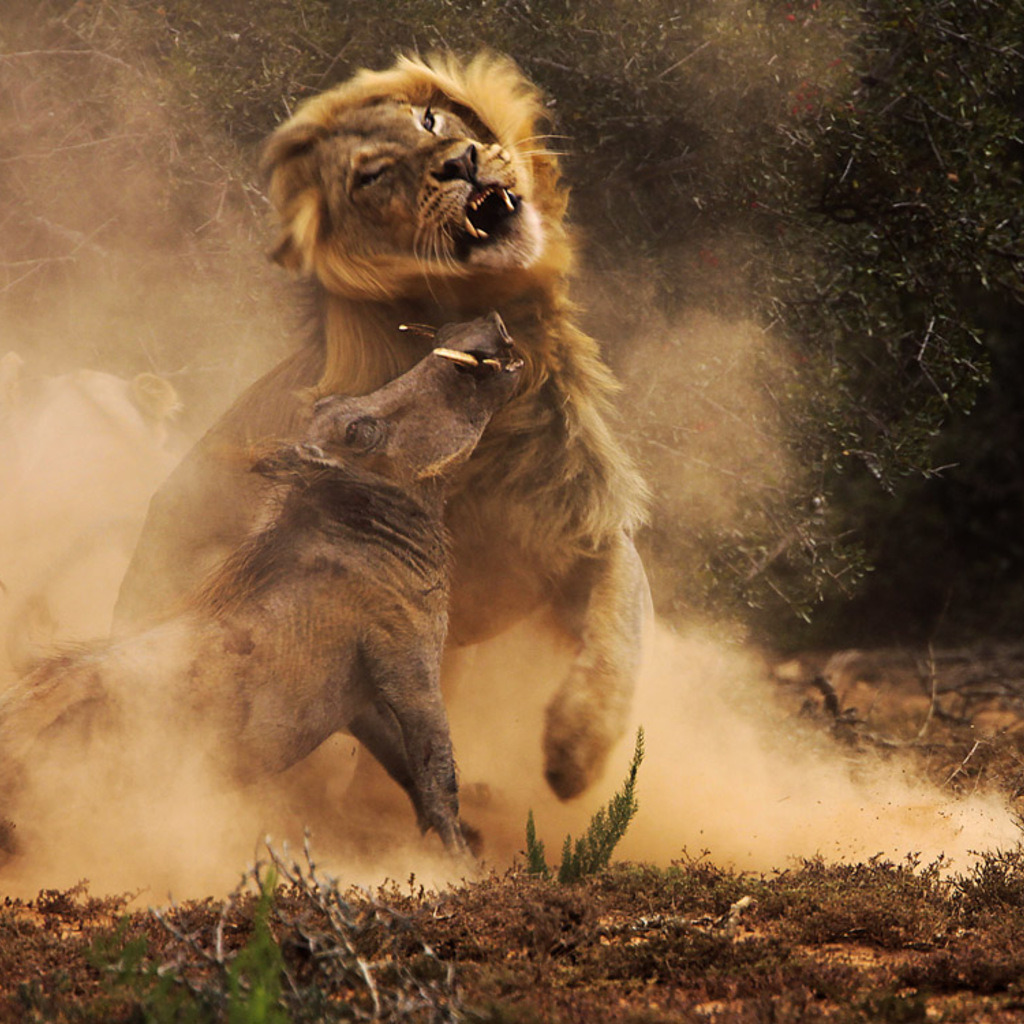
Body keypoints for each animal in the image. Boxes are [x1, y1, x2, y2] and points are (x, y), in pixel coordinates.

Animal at [114, 52, 650, 801]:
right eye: (371, 177)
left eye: (431, 119)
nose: (462, 161)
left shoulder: (589, 534)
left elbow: (618, 634)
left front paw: (575, 751)